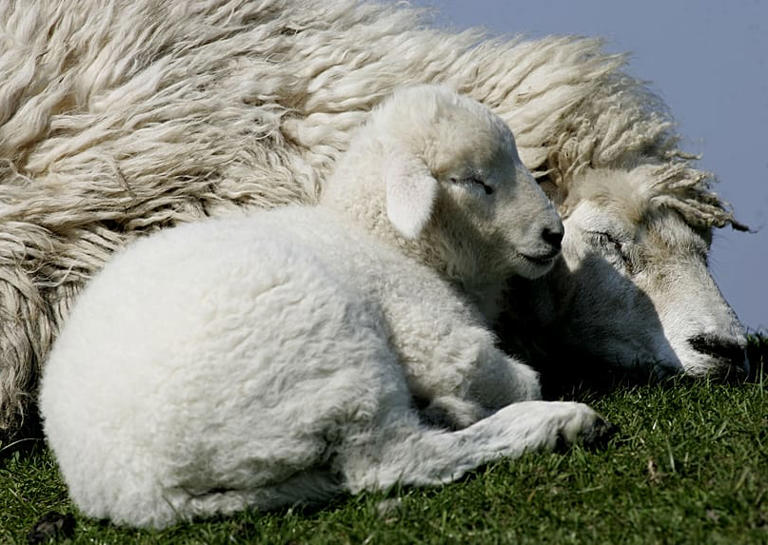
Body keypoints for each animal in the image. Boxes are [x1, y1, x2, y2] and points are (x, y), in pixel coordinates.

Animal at [39, 85, 612, 528]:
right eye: (474, 180)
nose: (554, 234)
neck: (387, 239)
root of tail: (142, 491)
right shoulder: (430, 331)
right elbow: (500, 373)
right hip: (332, 353)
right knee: (395, 463)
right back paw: (555, 422)